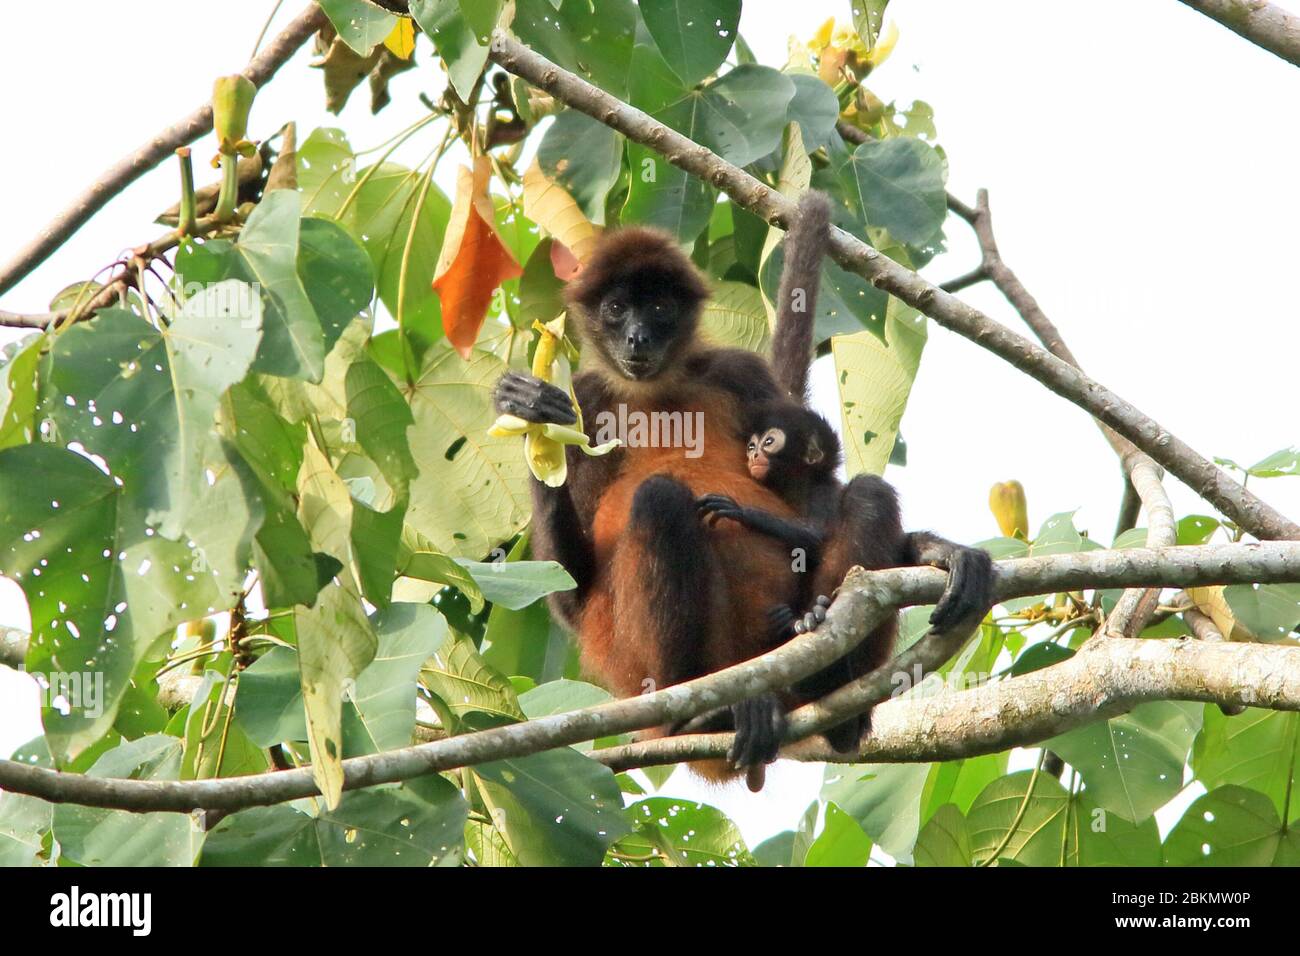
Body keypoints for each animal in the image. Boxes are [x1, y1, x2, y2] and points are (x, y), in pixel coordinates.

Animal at [493, 190, 991, 785]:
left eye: (658, 309)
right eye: (616, 309)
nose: (637, 337)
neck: (658, 391)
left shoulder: (737, 369)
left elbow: (816, 506)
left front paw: (942, 552)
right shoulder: (589, 399)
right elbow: (572, 592)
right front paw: (531, 411)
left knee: (868, 496)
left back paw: (827, 679)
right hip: (626, 653)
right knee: (659, 499)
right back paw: (698, 716)